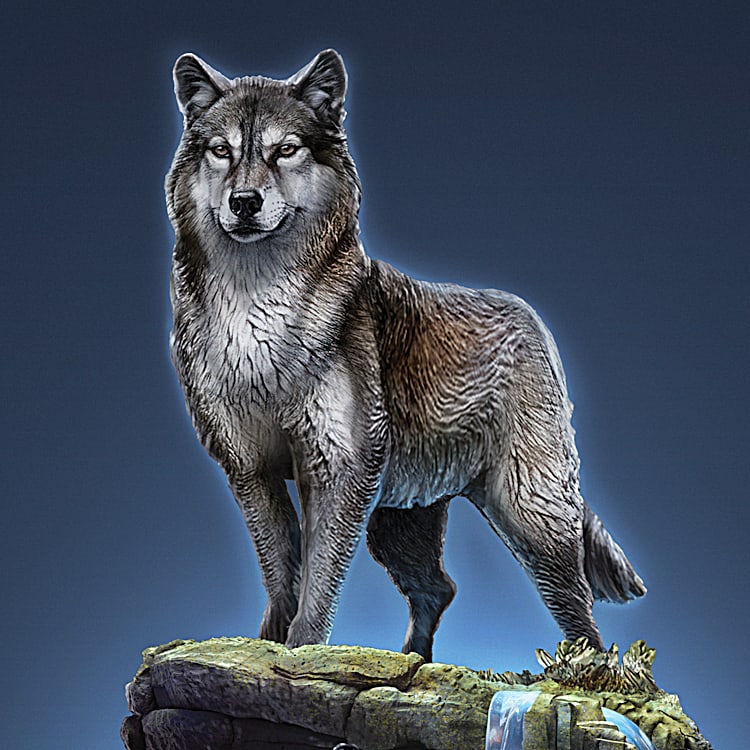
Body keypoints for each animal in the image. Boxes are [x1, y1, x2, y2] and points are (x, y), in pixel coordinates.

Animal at [166, 49, 646, 660]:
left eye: (286, 149)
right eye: (221, 150)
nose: (244, 202)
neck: (258, 309)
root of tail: (532, 318)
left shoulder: (338, 471)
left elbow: (318, 580)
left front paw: (301, 653)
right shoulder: (251, 471)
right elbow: (280, 571)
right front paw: (266, 648)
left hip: (529, 516)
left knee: (580, 614)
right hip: (397, 523)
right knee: (440, 588)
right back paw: (412, 662)